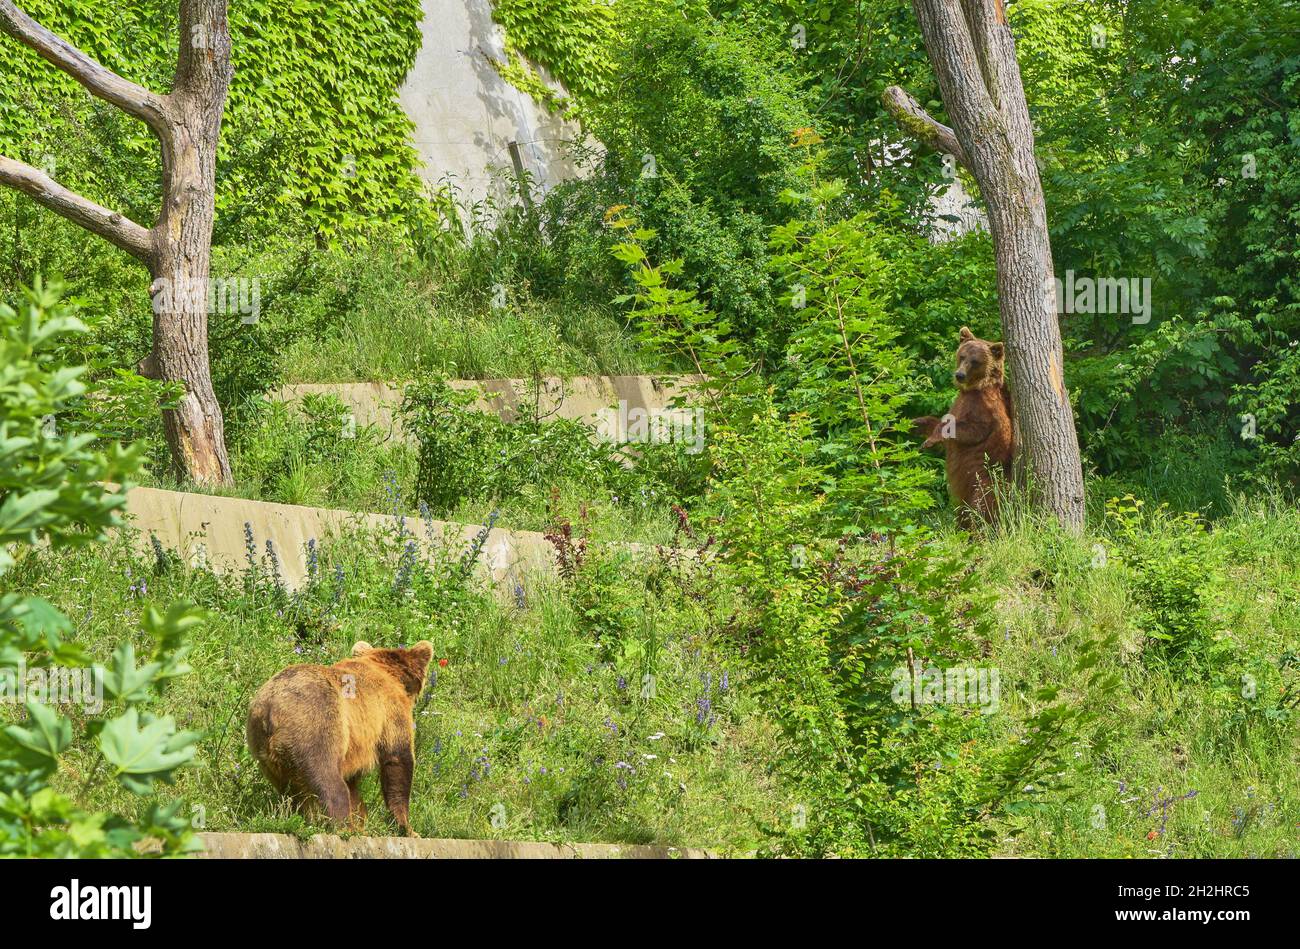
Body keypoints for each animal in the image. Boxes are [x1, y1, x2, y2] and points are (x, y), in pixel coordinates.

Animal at [246, 640, 433, 835]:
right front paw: (408, 828)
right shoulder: (391, 712)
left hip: (265, 753)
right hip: (316, 724)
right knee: (328, 779)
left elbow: (354, 786)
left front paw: (361, 821)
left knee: (291, 792)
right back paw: (343, 827)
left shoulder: (355, 746)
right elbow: (398, 760)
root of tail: (270, 709)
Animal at [912, 326, 1014, 530]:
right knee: (963, 511)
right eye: (962, 356)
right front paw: (917, 423)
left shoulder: (984, 408)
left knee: (983, 508)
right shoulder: (961, 402)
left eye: (975, 361)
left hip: (985, 481)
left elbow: (970, 430)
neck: (973, 388)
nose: (959, 375)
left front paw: (930, 440)